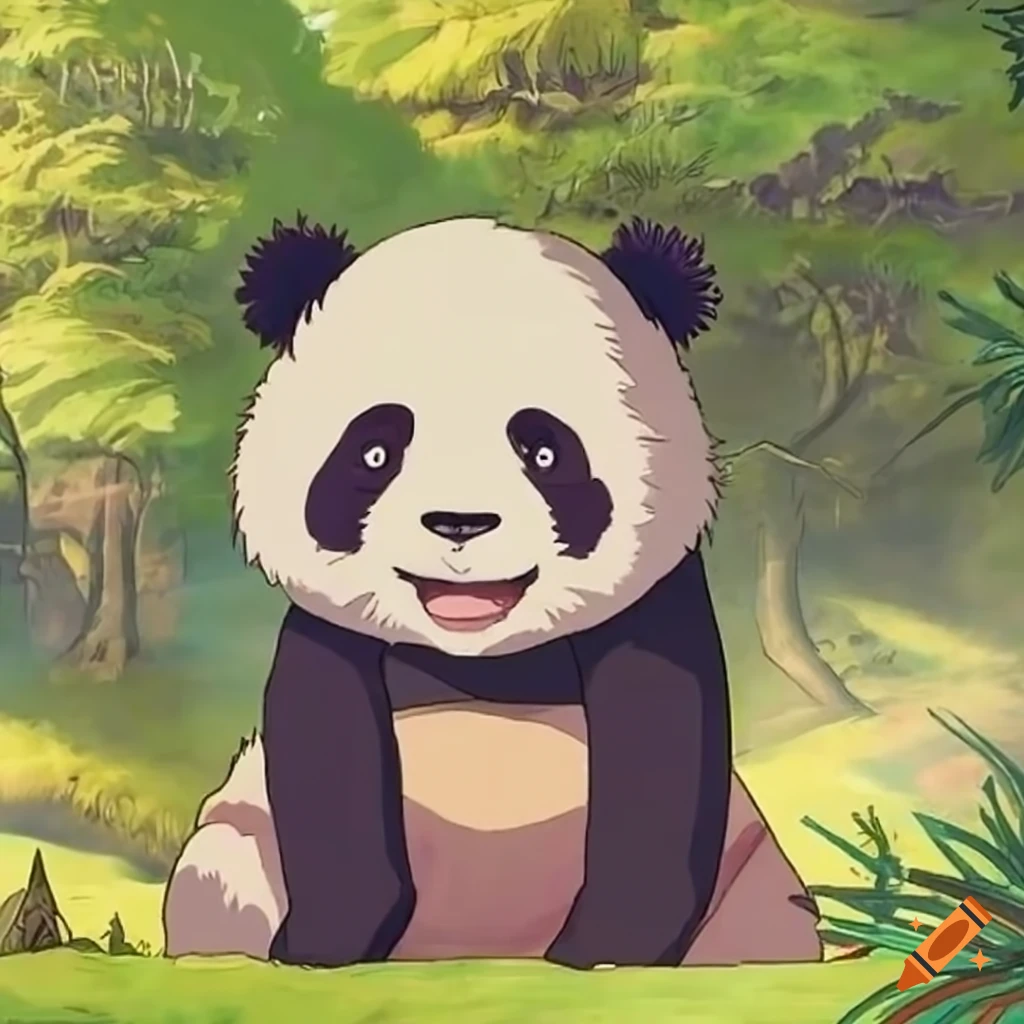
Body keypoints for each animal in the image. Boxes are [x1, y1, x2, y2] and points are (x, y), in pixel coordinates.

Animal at [162, 215, 822, 970]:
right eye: (374, 452)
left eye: (545, 453)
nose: (460, 522)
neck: (480, 660)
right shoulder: (331, 635)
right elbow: (325, 752)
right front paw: (323, 946)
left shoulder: (658, 610)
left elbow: (661, 749)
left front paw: (603, 953)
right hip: (236, 841)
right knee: (217, 881)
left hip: (750, 875)